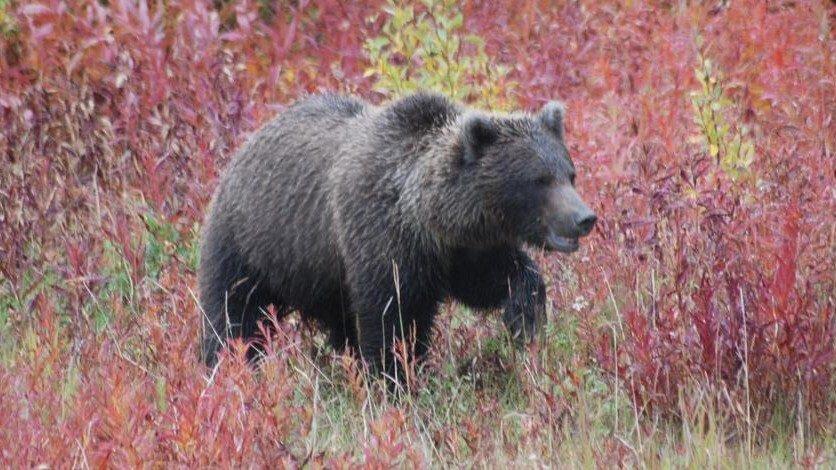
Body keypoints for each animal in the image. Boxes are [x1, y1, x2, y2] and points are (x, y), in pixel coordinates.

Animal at [198, 91, 597, 378]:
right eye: (539, 180)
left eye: (570, 174)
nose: (584, 218)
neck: (425, 220)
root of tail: (241, 150)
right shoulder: (379, 240)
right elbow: (390, 318)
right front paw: (395, 378)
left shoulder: (463, 251)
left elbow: (496, 279)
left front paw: (524, 319)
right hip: (251, 245)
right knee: (233, 315)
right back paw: (227, 369)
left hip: (323, 277)